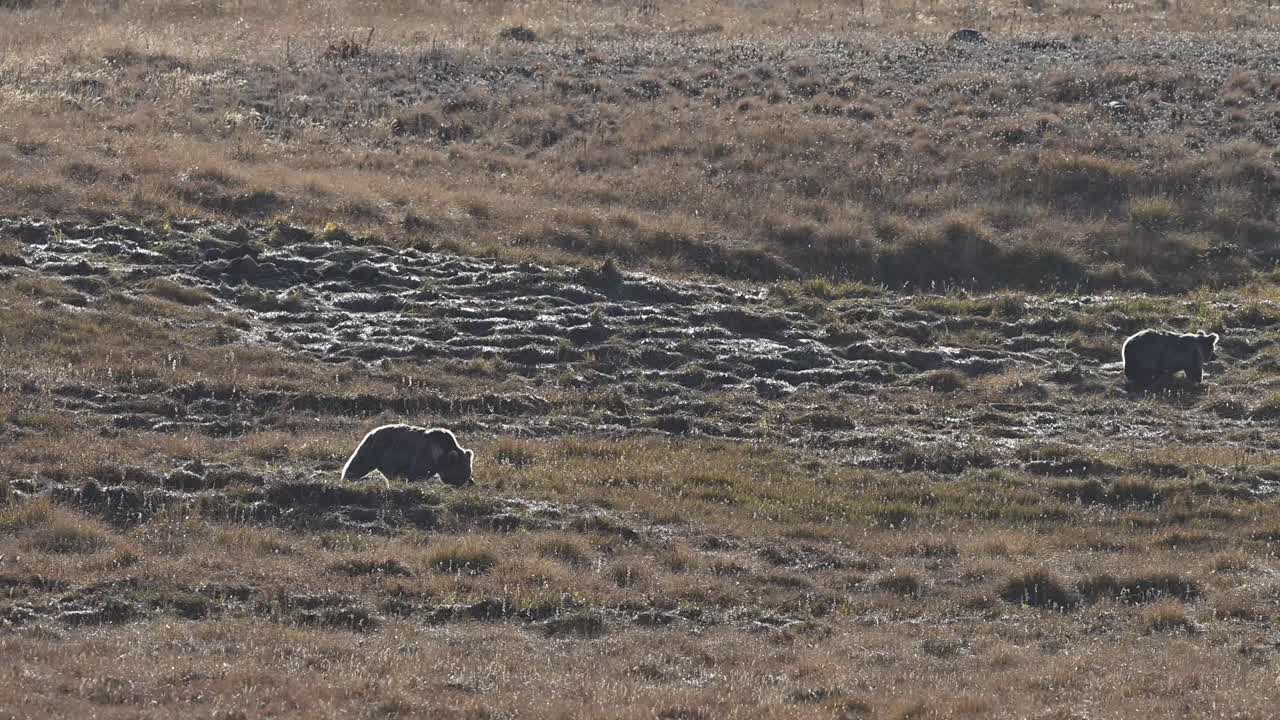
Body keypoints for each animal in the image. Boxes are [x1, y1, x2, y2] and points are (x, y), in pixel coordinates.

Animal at [341, 424, 474, 487]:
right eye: (462, 471)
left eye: (468, 470)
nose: (468, 481)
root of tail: (372, 432)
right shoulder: (423, 457)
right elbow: (415, 475)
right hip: (375, 451)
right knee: (358, 464)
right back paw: (347, 478)